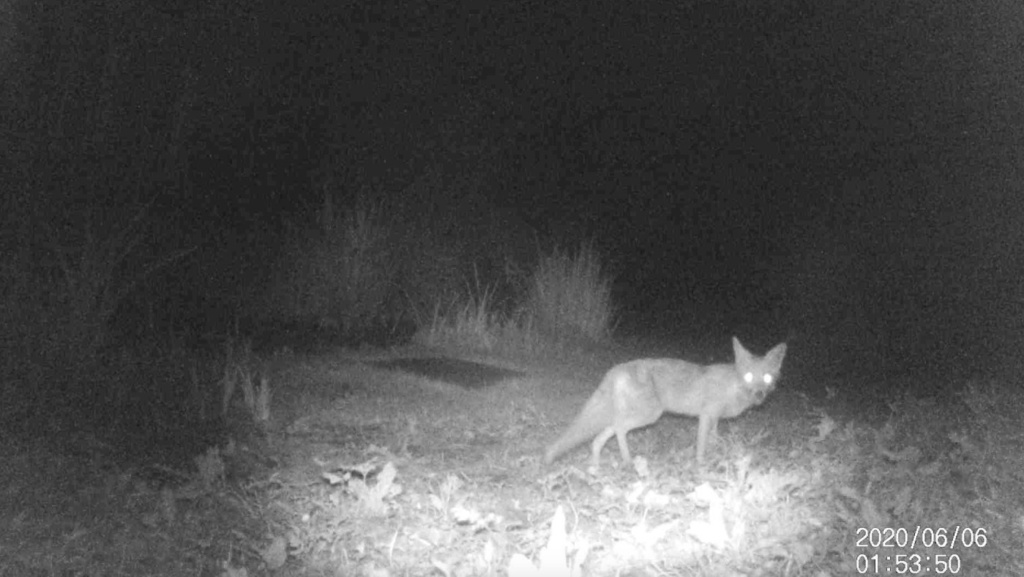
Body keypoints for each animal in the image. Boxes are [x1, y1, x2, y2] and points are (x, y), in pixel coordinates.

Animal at [543, 337, 787, 468]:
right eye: (748, 376)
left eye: (766, 378)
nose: (759, 395)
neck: (733, 385)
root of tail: (617, 367)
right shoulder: (706, 416)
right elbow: (701, 445)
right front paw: (701, 466)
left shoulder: (715, 419)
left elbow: (715, 440)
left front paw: (717, 458)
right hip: (649, 415)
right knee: (620, 430)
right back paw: (627, 460)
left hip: (631, 414)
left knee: (600, 438)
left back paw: (596, 465)